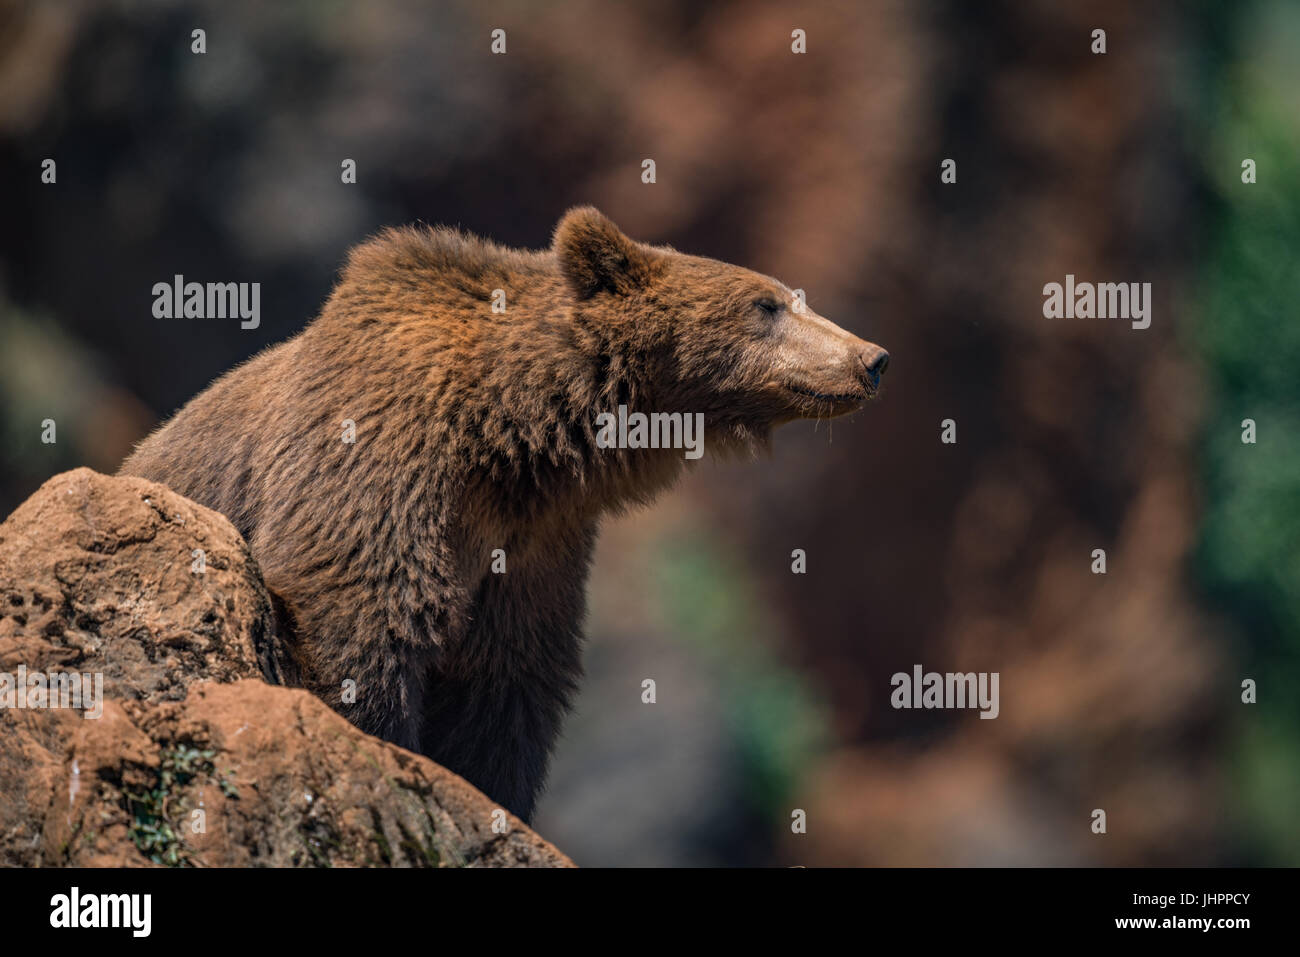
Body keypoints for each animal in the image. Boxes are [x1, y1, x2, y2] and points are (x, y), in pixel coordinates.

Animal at [119, 207, 889, 821]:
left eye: (789, 297)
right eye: (767, 304)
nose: (871, 357)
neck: (510, 434)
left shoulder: (534, 544)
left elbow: (507, 678)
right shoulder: (378, 457)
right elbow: (361, 611)